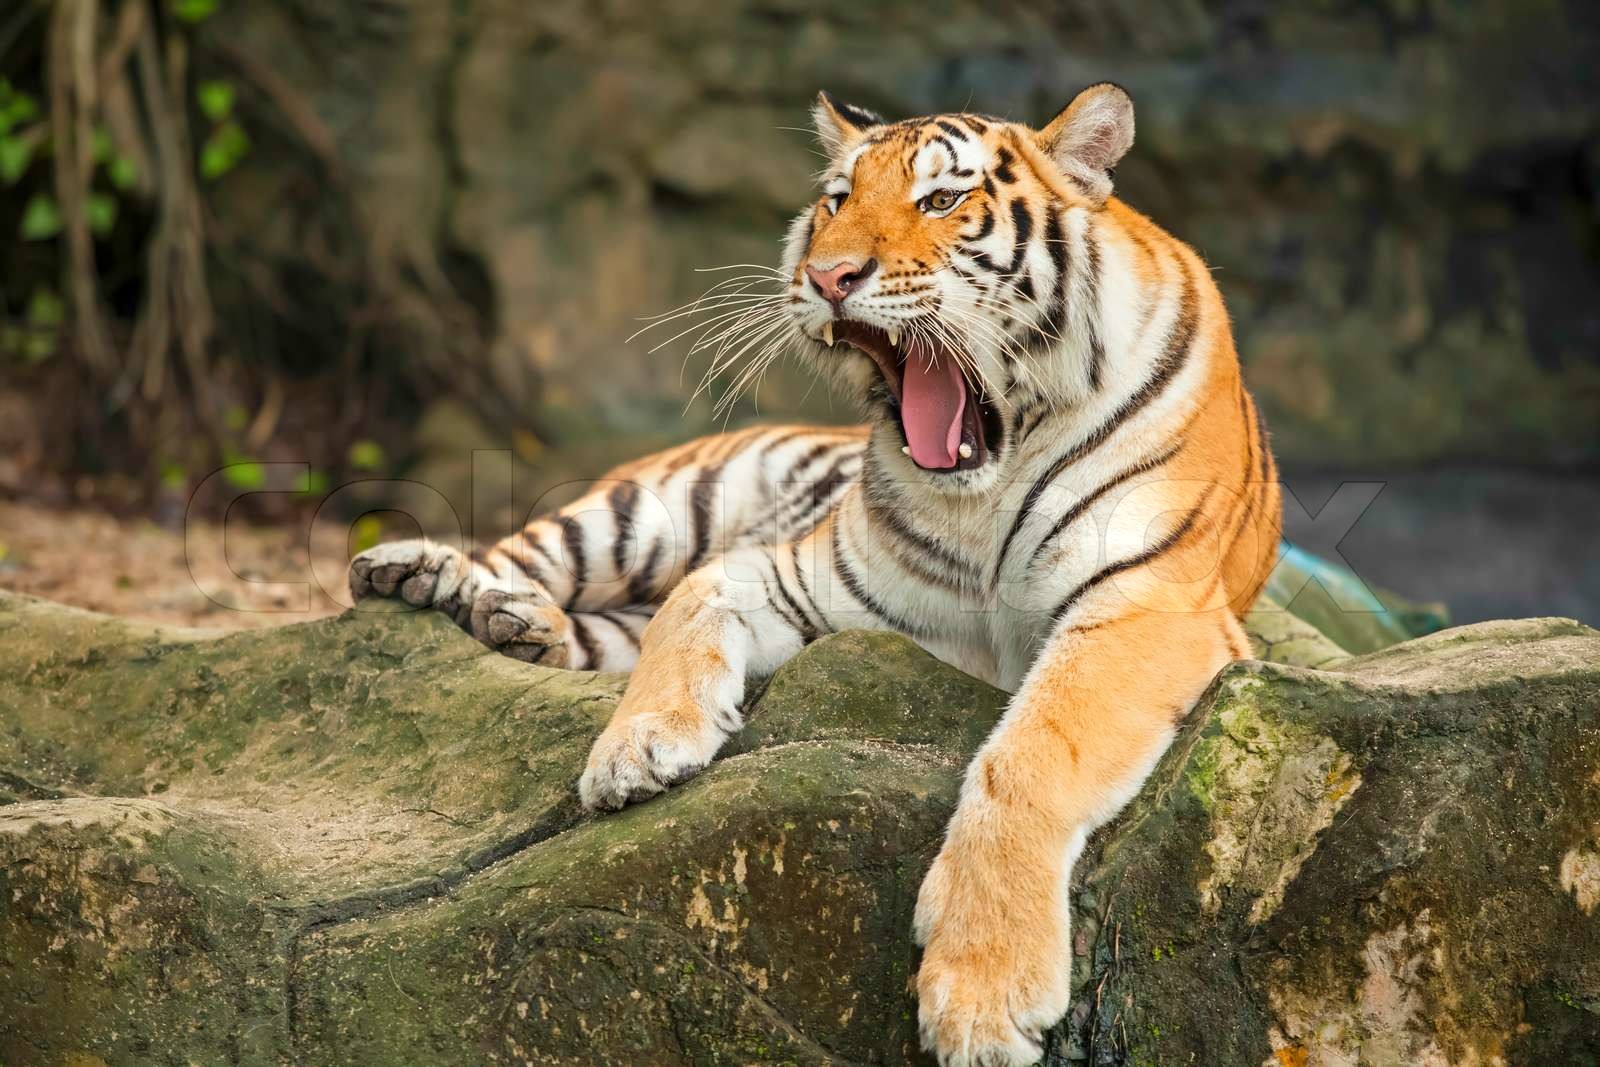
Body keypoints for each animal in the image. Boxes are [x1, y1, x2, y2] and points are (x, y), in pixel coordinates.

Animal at [349, 83, 1281, 1065]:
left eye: (941, 200)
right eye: (838, 201)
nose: (831, 277)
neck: (985, 483)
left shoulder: (1145, 604)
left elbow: (1029, 755)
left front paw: (982, 993)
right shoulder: (812, 575)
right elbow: (689, 606)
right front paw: (634, 750)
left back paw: (516, 624)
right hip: (649, 509)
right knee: (531, 552)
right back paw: (416, 572)